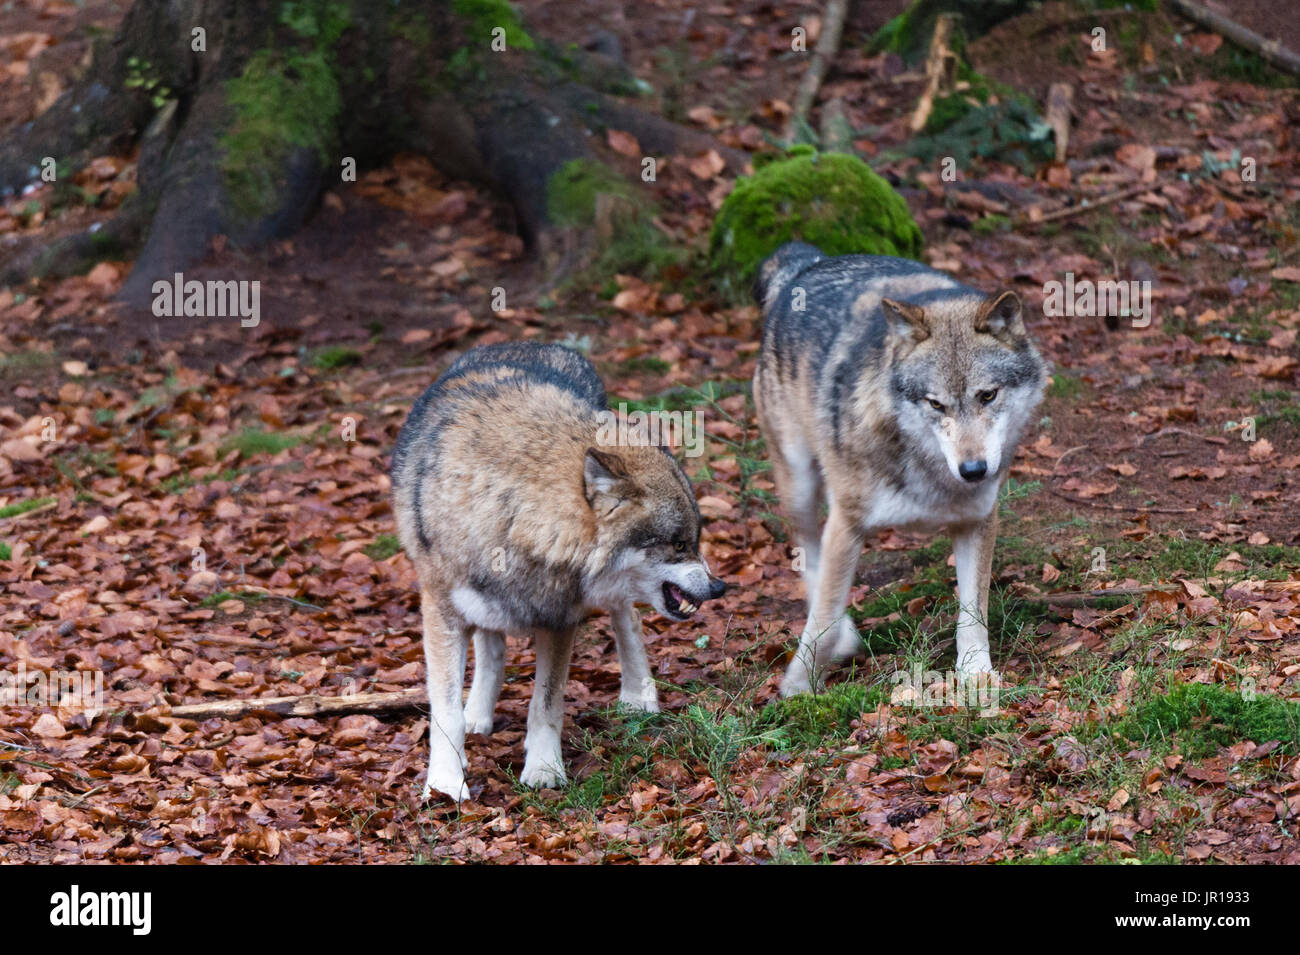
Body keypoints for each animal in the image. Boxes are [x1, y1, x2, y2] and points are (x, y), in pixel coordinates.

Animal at [391, 341, 727, 800]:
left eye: (693, 540)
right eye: (679, 544)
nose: (719, 586)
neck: (513, 513)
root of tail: (537, 344)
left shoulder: (560, 617)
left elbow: (546, 705)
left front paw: (545, 768)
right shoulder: (442, 612)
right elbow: (446, 712)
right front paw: (445, 784)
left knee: (629, 621)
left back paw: (638, 696)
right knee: (491, 651)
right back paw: (478, 714)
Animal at [752, 242, 1048, 696]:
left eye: (987, 395)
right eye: (936, 404)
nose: (974, 470)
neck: (929, 468)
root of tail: (805, 264)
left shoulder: (978, 519)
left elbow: (973, 611)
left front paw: (976, 673)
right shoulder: (847, 522)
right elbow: (822, 617)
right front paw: (799, 687)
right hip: (799, 484)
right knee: (808, 556)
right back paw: (845, 636)